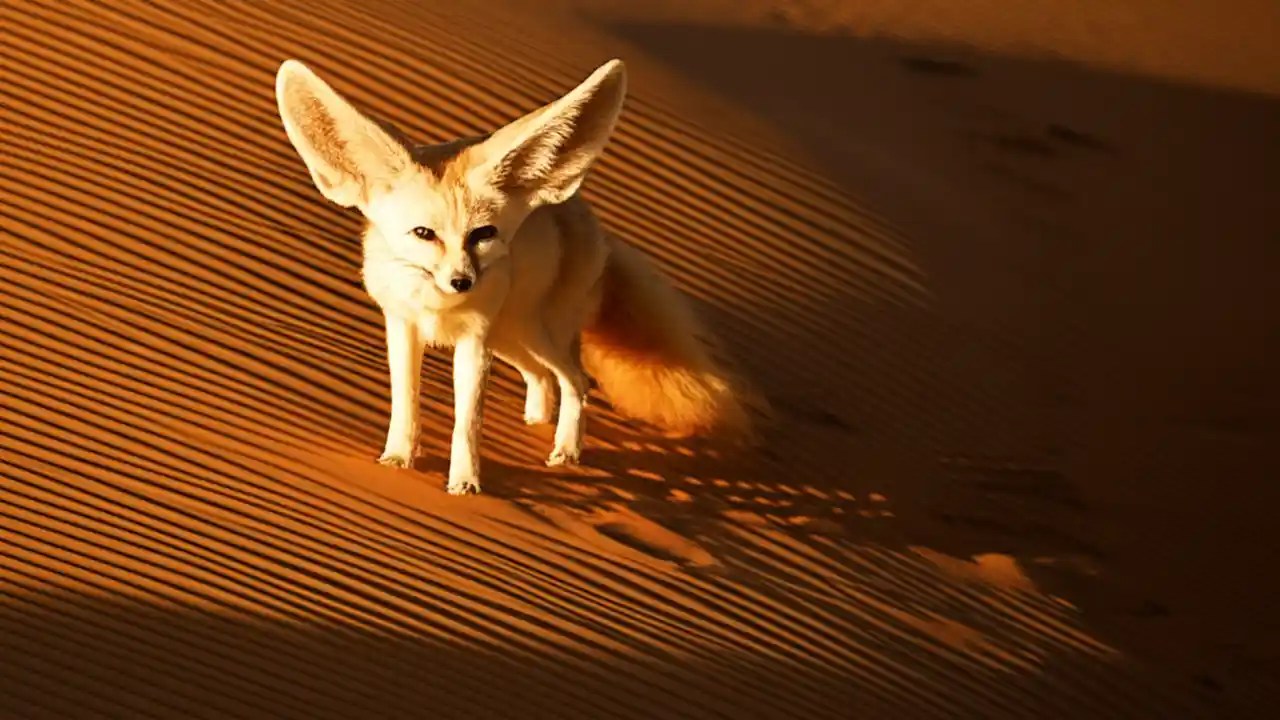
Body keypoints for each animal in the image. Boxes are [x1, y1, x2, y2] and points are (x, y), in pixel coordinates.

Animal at [274, 58, 749, 495]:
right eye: (424, 234)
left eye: (482, 234)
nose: (462, 282)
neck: (437, 306)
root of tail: (588, 222)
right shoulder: (403, 328)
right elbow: (405, 400)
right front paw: (398, 459)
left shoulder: (474, 342)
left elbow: (467, 421)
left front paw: (464, 484)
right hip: (512, 339)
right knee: (543, 379)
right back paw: (535, 423)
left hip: (534, 335)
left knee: (576, 380)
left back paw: (565, 449)